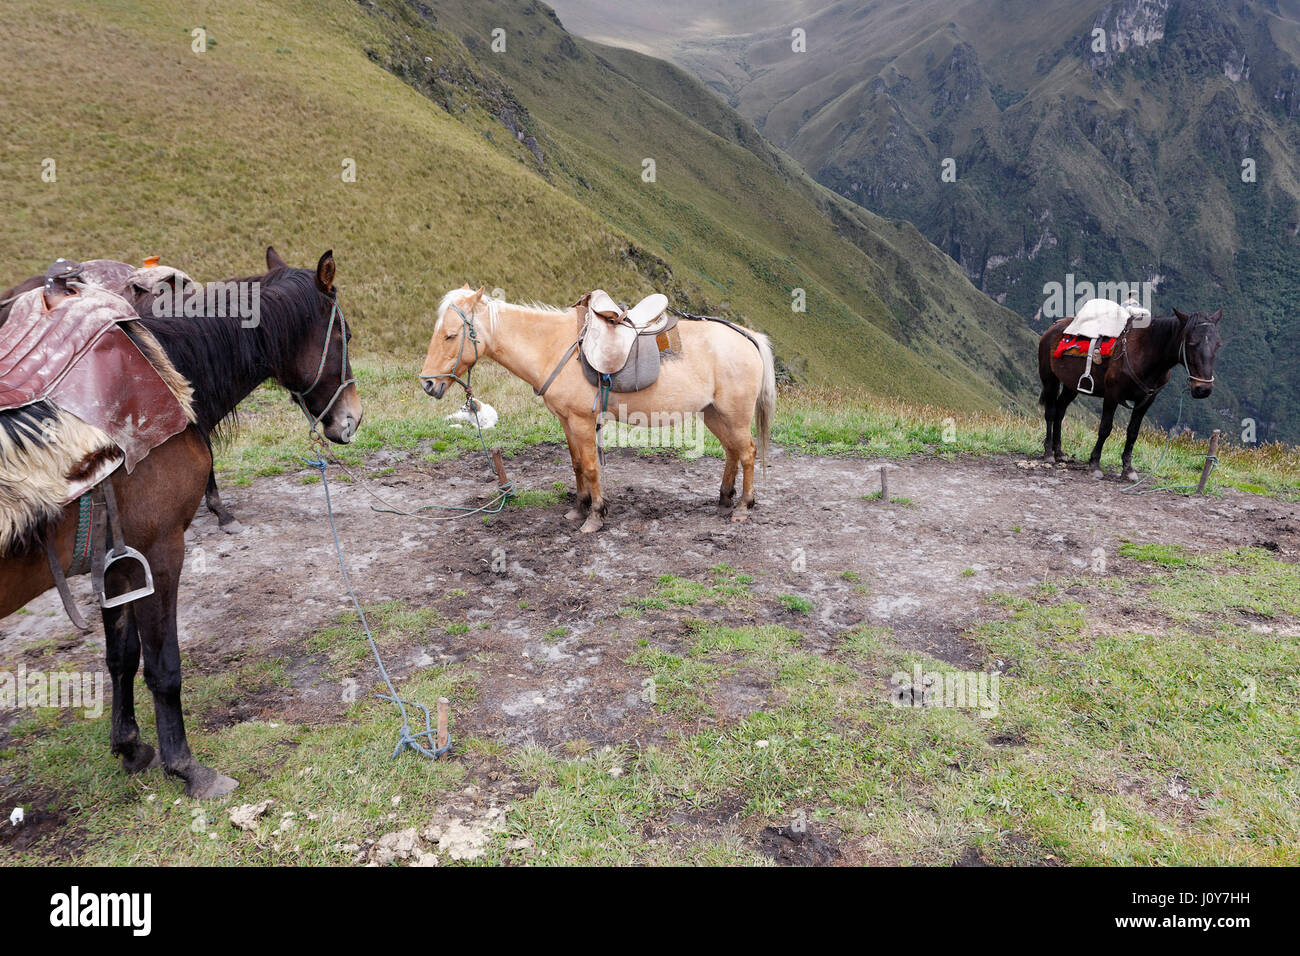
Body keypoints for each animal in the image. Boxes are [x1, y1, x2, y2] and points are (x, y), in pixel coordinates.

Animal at [0, 247, 362, 797]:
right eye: (344, 334)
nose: (353, 419)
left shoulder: (115, 560)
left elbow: (121, 657)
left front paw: (130, 747)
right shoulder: (158, 551)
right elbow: (163, 666)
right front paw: (187, 767)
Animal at [419, 287, 776, 532]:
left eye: (450, 335)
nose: (428, 384)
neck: (553, 346)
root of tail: (748, 336)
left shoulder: (581, 421)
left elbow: (591, 468)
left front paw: (595, 516)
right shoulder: (566, 421)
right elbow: (577, 465)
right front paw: (579, 508)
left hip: (734, 415)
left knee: (747, 452)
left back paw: (743, 507)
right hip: (714, 413)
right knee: (732, 451)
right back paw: (724, 499)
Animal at [1038, 308, 1223, 479]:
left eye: (1217, 345)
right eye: (1191, 344)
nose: (1203, 389)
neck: (1146, 351)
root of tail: (1053, 328)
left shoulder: (1146, 400)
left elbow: (1133, 432)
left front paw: (1128, 468)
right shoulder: (1112, 395)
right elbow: (1105, 428)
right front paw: (1095, 464)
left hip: (1071, 386)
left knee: (1061, 410)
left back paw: (1059, 452)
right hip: (1049, 379)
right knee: (1051, 412)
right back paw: (1048, 453)